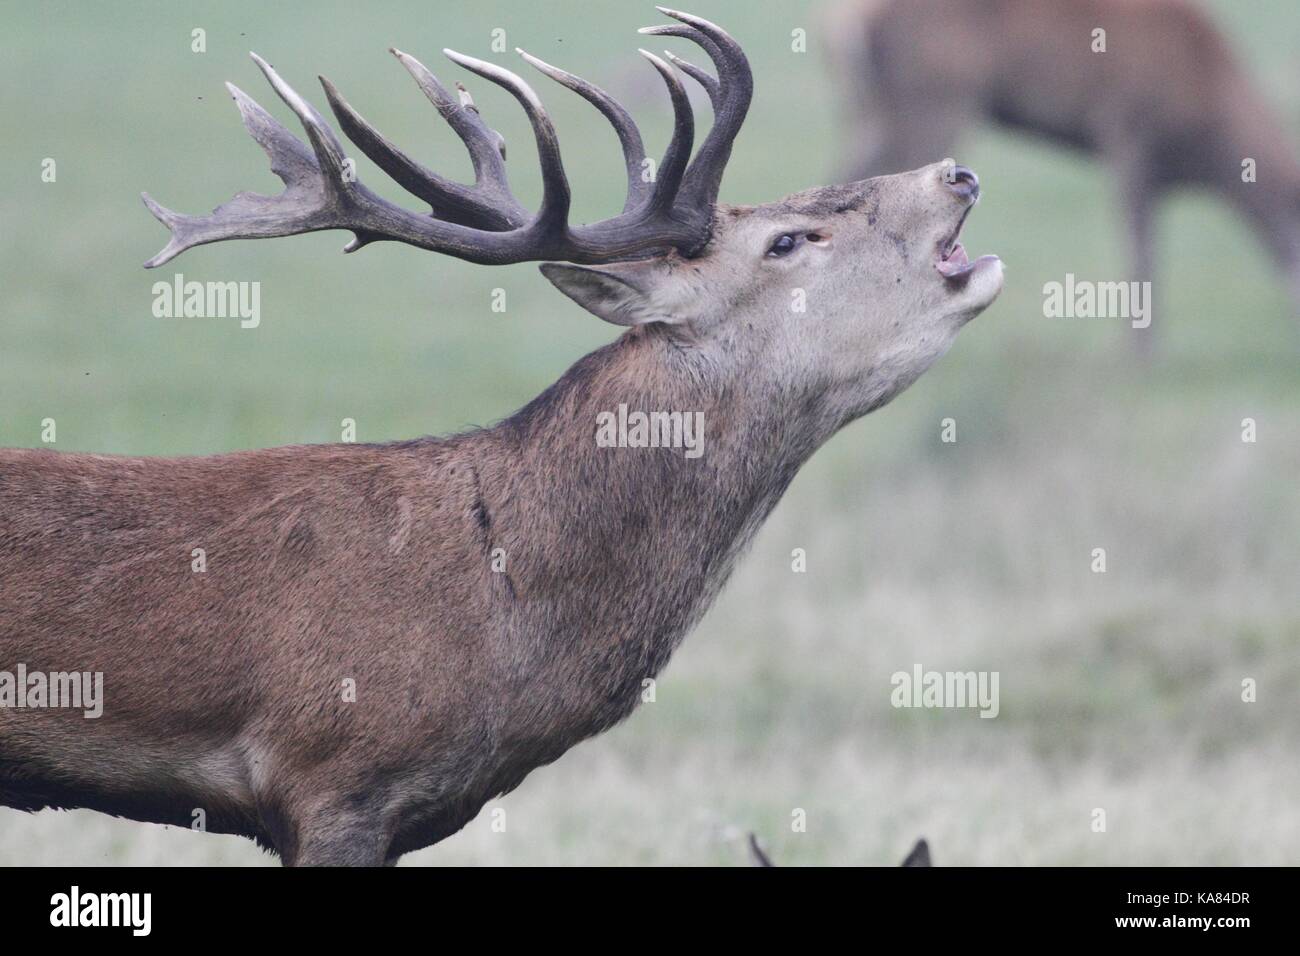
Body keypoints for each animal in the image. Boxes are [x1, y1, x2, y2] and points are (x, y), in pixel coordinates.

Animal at [826, 0, 1300, 349]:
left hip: (869, 111)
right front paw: (1139, 354)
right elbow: (1141, 254)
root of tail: (848, 22)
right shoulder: (1129, 135)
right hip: (934, 99)